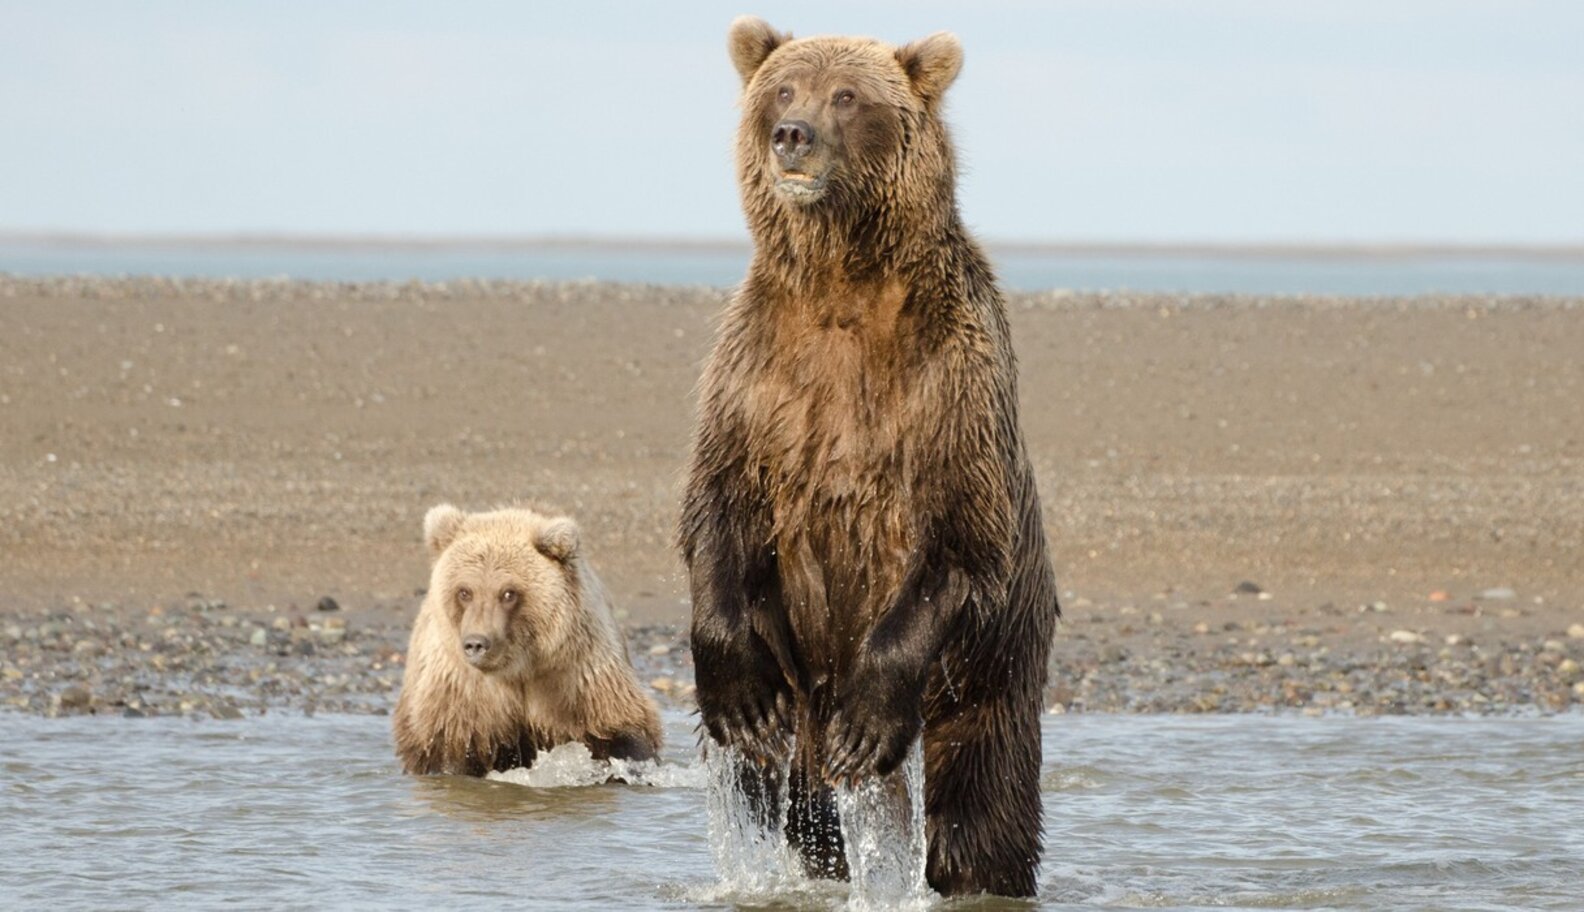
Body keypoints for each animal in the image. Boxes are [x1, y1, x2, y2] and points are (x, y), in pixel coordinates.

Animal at [393, 503, 663, 776]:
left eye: (508, 593)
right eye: (465, 591)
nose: (476, 643)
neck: (519, 666)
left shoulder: (576, 672)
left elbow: (619, 726)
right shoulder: (460, 689)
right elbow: (450, 747)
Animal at [679, 17, 1061, 898]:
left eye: (847, 96)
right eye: (785, 87)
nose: (792, 135)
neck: (840, 287)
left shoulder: (949, 389)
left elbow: (959, 541)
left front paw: (868, 726)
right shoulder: (755, 377)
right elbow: (717, 505)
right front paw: (738, 699)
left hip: (993, 673)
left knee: (979, 803)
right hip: (799, 675)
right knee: (793, 800)